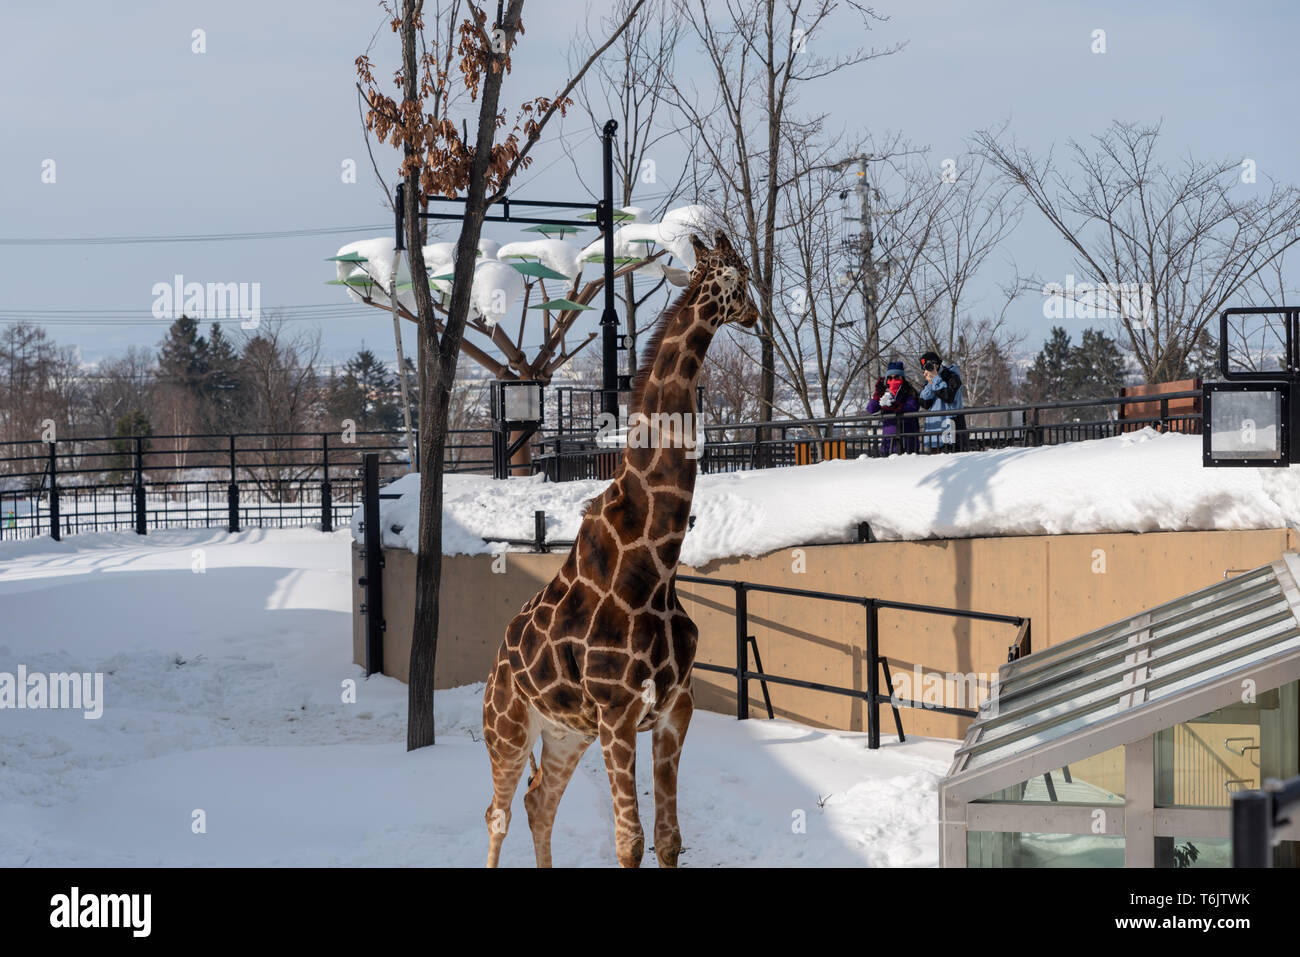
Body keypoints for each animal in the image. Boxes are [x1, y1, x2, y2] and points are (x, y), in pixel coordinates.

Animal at [482, 230, 759, 868]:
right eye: (735, 277)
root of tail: (495, 665)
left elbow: (668, 838)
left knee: (538, 804)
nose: (757, 315)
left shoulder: (673, 710)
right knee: (498, 814)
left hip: (566, 733)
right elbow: (628, 841)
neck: (653, 566)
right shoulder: (617, 715)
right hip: (507, 729)